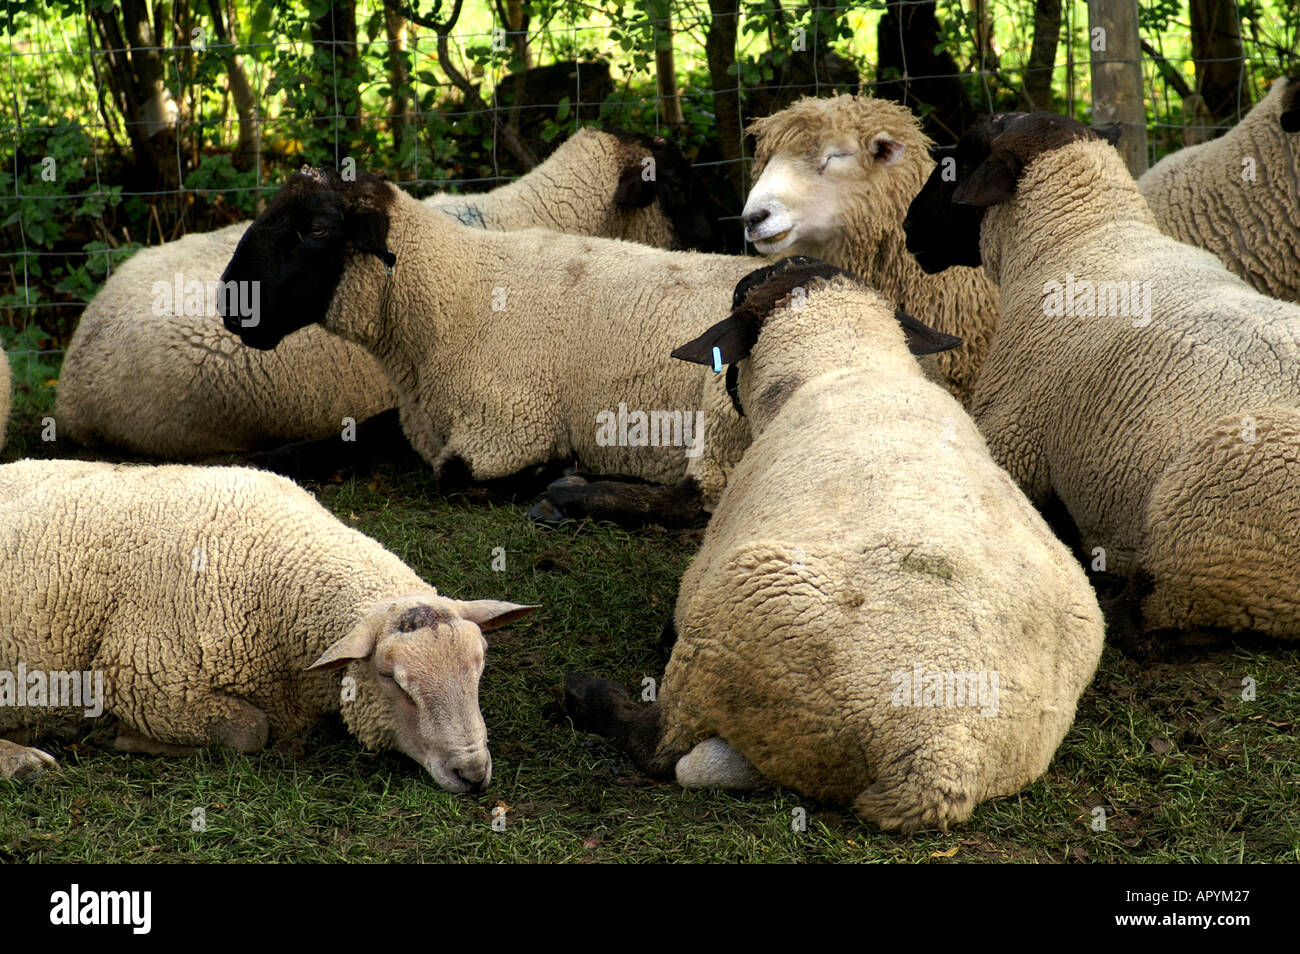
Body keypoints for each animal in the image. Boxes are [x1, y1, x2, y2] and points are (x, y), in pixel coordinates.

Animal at [0, 458, 537, 787]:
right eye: (393, 680)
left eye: (479, 668)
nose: (472, 775)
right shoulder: (143, 679)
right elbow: (250, 732)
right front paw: (126, 738)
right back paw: (24, 761)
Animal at [218, 166, 766, 520]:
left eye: (316, 227)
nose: (230, 302)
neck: (456, 298)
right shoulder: (420, 416)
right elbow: (337, 439)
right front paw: (261, 460)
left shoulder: (510, 425)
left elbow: (452, 477)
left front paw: (551, 469)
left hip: (723, 397)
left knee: (698, 497)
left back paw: (572, 492)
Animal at [904, 110, 1300, 640]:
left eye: (961, 162)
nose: (908, 226)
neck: (1084, 237)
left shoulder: (1012, 434)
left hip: (1214, 503)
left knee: (1155, 609)